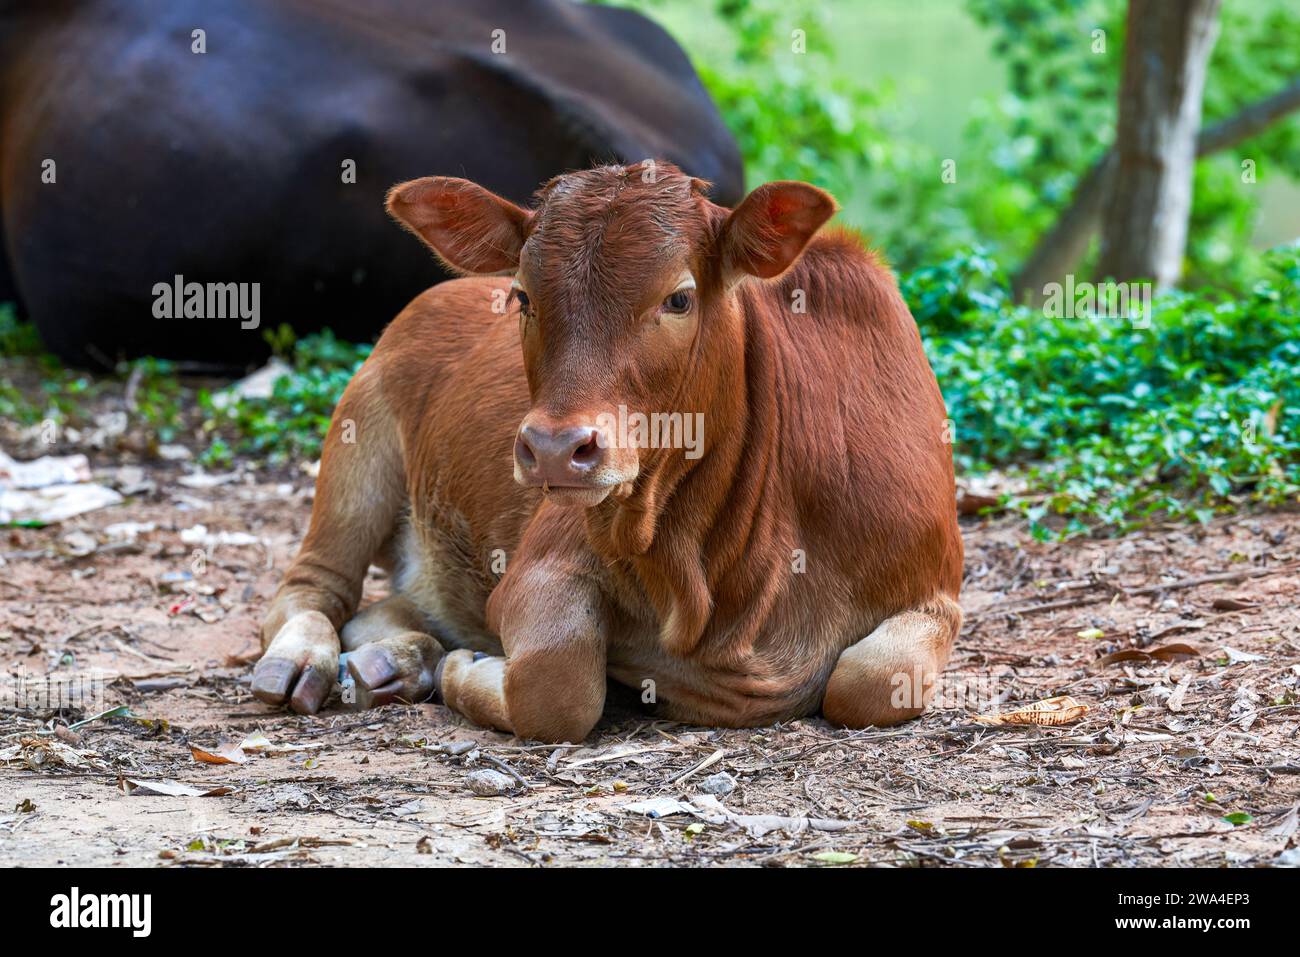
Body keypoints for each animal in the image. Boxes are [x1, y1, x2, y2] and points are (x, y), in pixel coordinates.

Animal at [253, 162, 964, 742]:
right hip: (358, 436)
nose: (553, 449)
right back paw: (305, 660)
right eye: (523, 295)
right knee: (313, 586)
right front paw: (466, 669)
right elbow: (557, 683)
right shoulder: (538, 565)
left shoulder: (936, 591)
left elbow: (868, 682)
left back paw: (393, 663)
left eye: (680, 297)